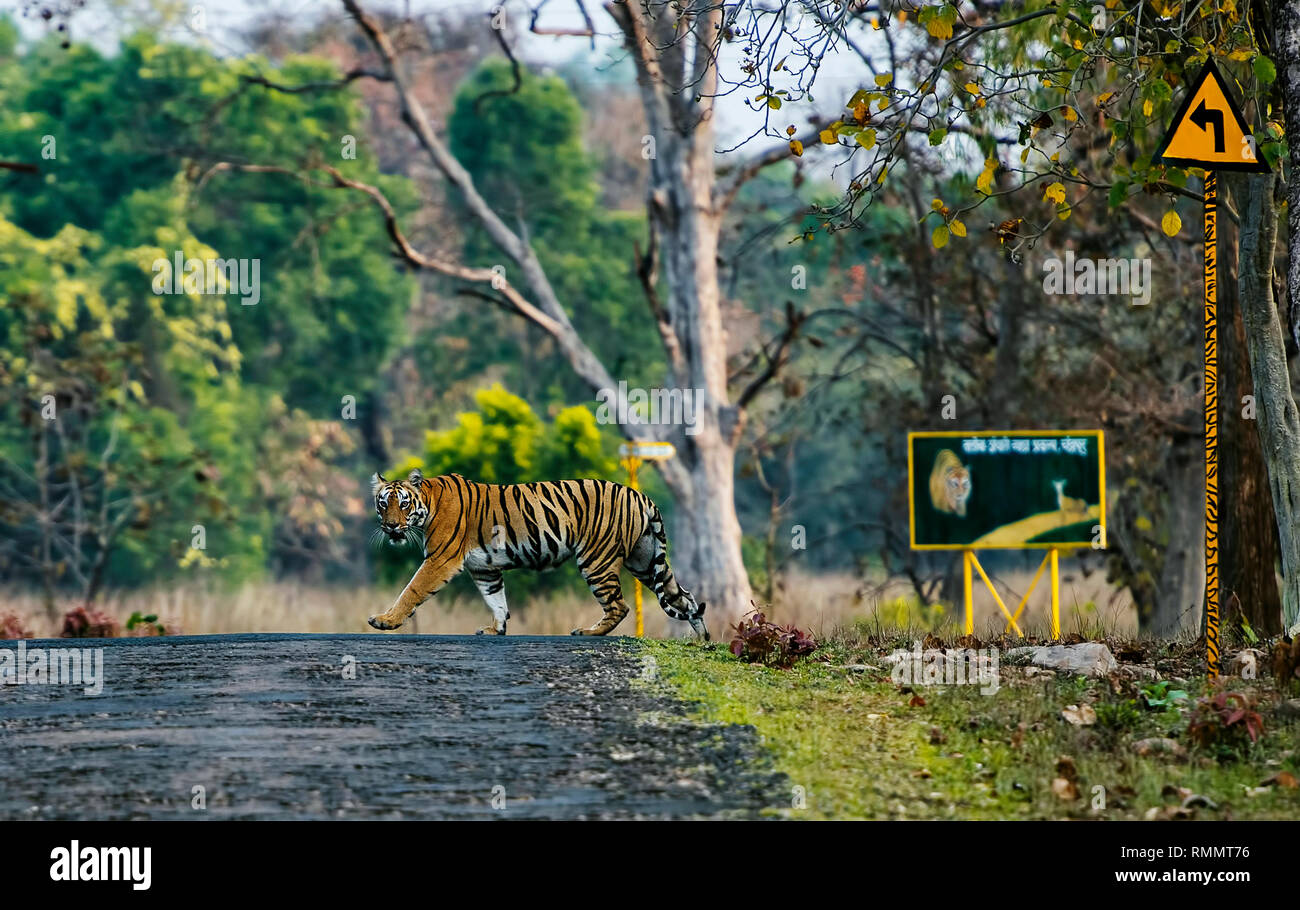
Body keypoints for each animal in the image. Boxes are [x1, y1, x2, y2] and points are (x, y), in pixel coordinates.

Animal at [368, 469, 708, 639]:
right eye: (383, 504)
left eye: (404, 504)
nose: (391, 526)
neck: (428, 504)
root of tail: (640, 495)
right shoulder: (484, 569)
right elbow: (497, 600)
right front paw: (496, 629)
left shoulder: (440, 560)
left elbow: (411, 590)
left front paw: (385, 620)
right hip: (645, 560)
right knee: (684, 596)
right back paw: (703, 638)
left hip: (596, 560)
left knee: (619, 606)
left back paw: (588, 631)